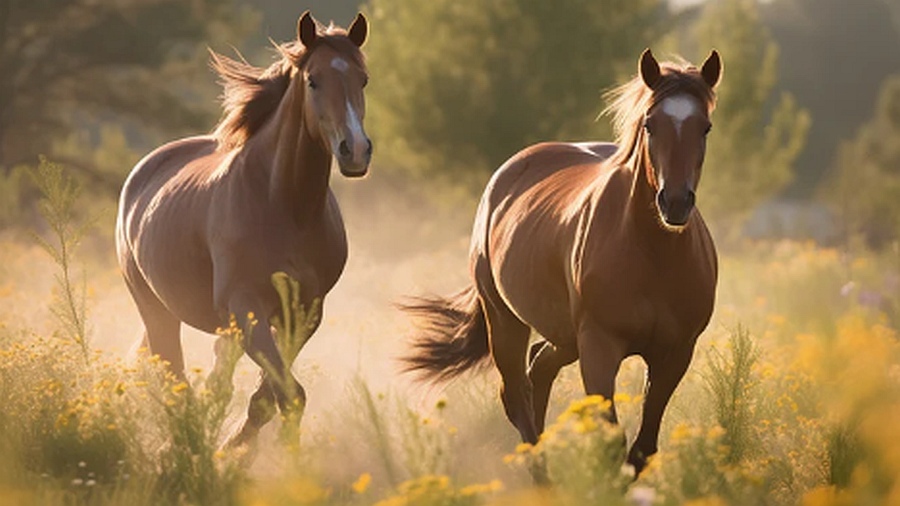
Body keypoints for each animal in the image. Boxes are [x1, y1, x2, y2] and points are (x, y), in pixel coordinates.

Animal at [115, 11, 371, 446]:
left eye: (363, 79)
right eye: (313, 80)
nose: (355, 150)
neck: (285, 206)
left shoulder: (303, 313)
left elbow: (269, 398)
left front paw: (235, 447)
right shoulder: (246, 306)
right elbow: (289, 394)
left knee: (214, 383)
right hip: (156, 310)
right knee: (176, 380)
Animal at [402, 49, 722, 479]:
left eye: (704, 127)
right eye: (650, 125)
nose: (674, 203)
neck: (654, 255)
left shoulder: (676, 354)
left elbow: (642, 448)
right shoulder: (599, 348)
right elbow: (611, 441)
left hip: (564, 336)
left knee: (539, 369)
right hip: (506, 320)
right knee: (517, 392)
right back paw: (541, 477)